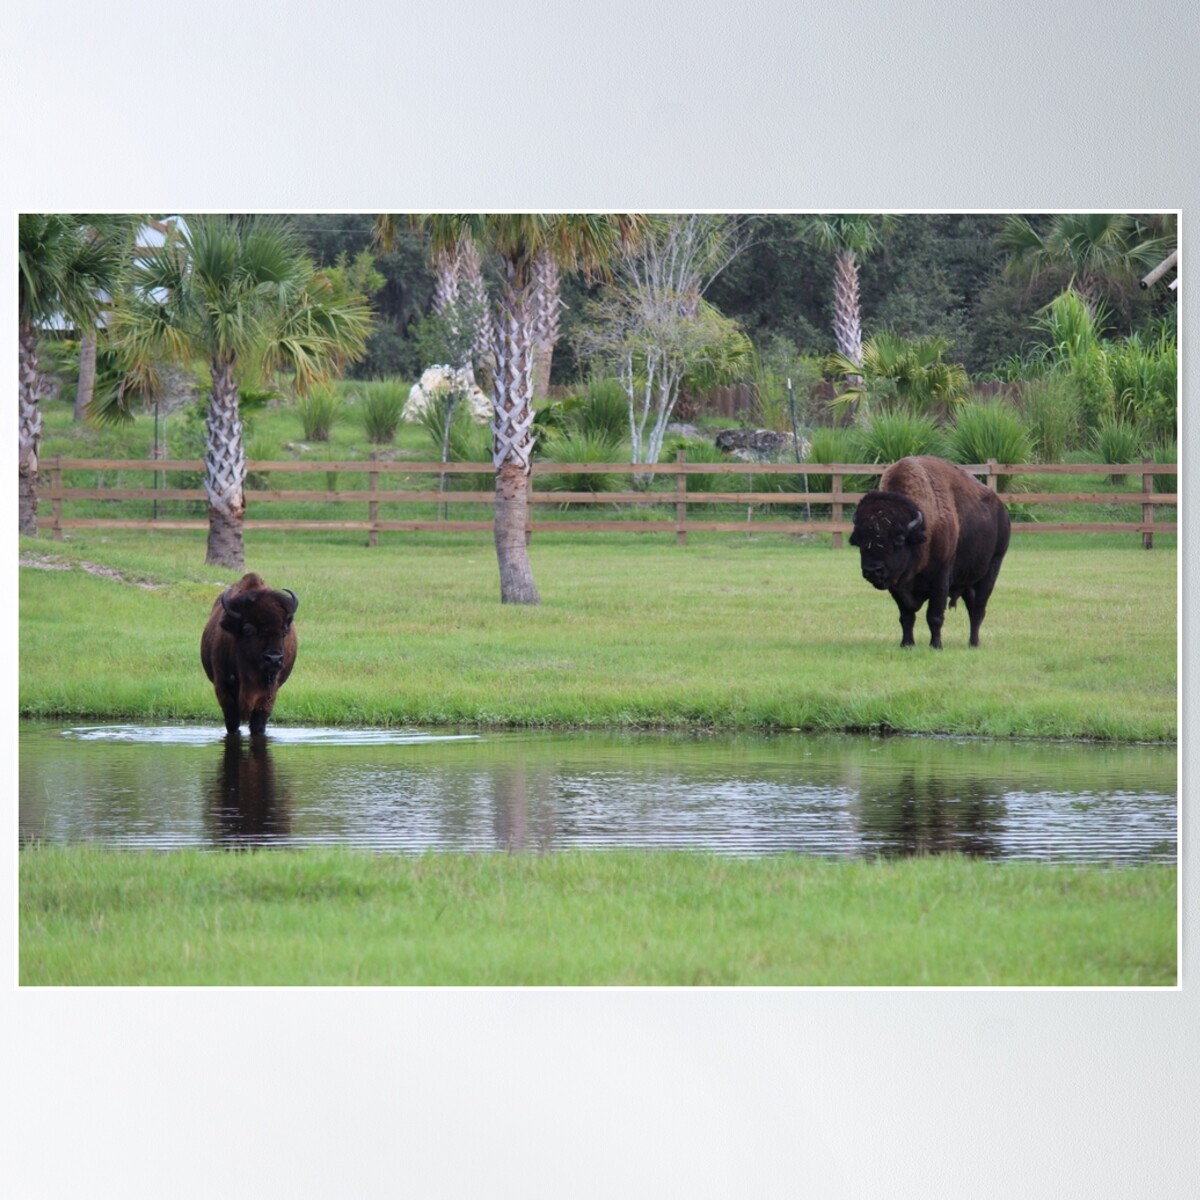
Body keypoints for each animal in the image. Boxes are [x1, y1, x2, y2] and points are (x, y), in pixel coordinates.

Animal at [200, 572, 299, 734]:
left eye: (284, 631)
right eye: (248, 629)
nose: (274, 659)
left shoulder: (269, 692)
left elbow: (258, 724)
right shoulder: (223, 687)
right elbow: (232, 722)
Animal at [849, 455, 1010, 649]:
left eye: (899, 538)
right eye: (860, 540)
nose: (873, 570)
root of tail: (1002, 511)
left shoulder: (940, 578)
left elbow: (934, 616)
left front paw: (936, 645)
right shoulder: (896, 585)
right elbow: (906, 617)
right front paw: (907, 644)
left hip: (992, 569)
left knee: (978, 610)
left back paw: (974, 643)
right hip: (967, 581)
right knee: (972, 608)